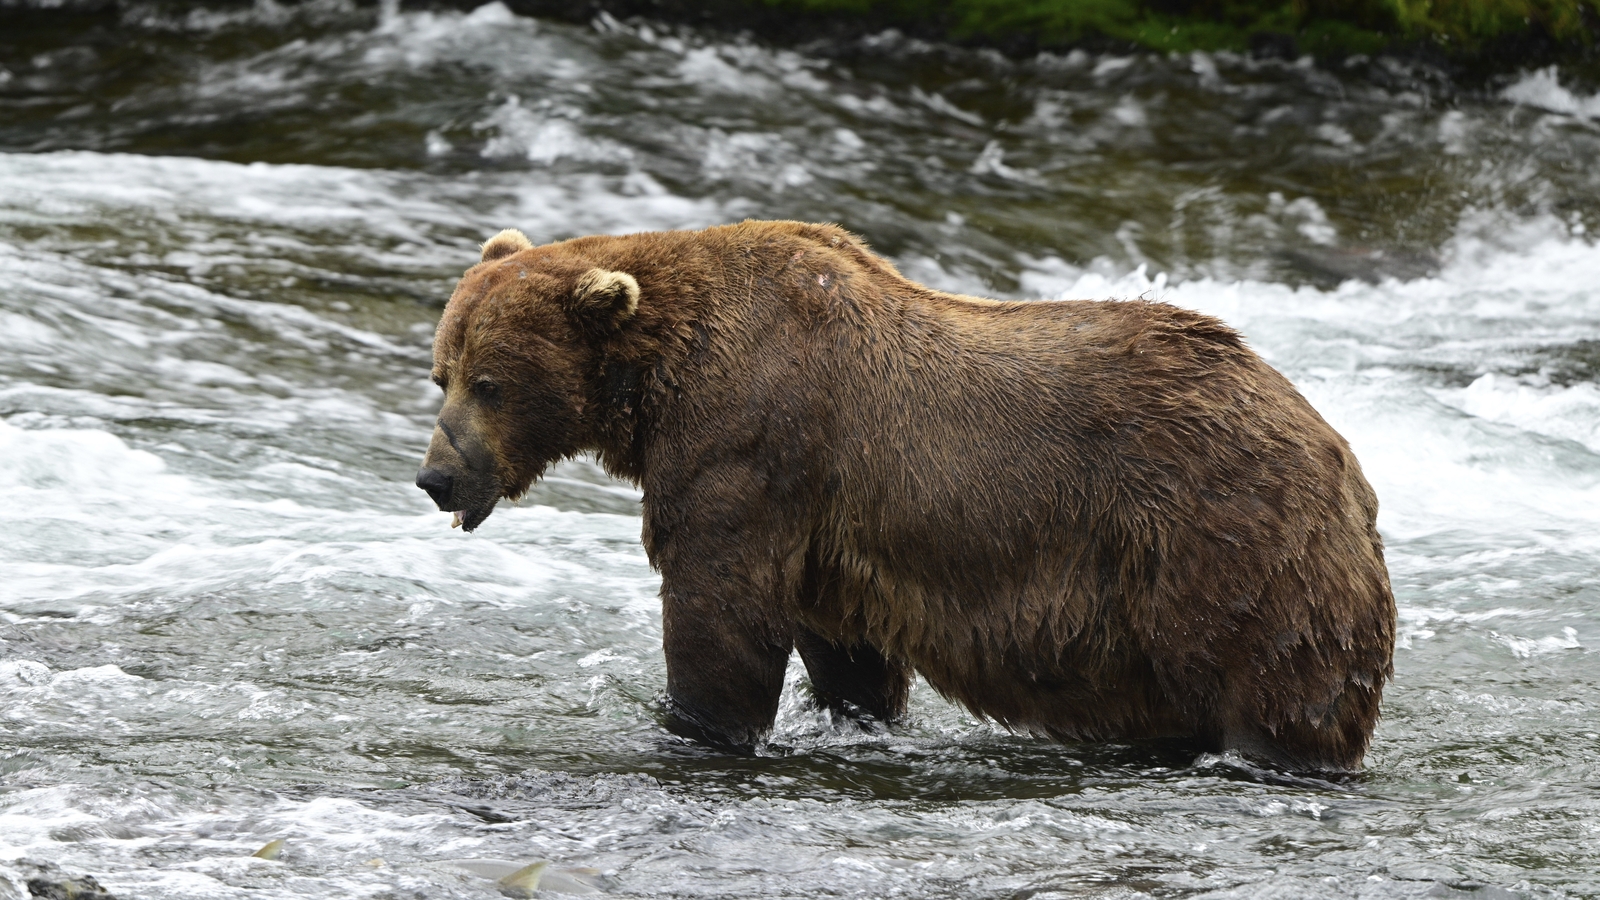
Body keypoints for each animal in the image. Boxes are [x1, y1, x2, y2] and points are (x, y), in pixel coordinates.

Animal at [414, 219, 1396, 772]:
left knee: (1277, 690)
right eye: (442, 373)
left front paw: (693, 726)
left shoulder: (749, 442)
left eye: (490, 382)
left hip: (1225, 543)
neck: (656, 379)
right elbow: (842, 648)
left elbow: (718, 609)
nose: (436, 477)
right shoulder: (826, 528)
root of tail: (1340, 454)